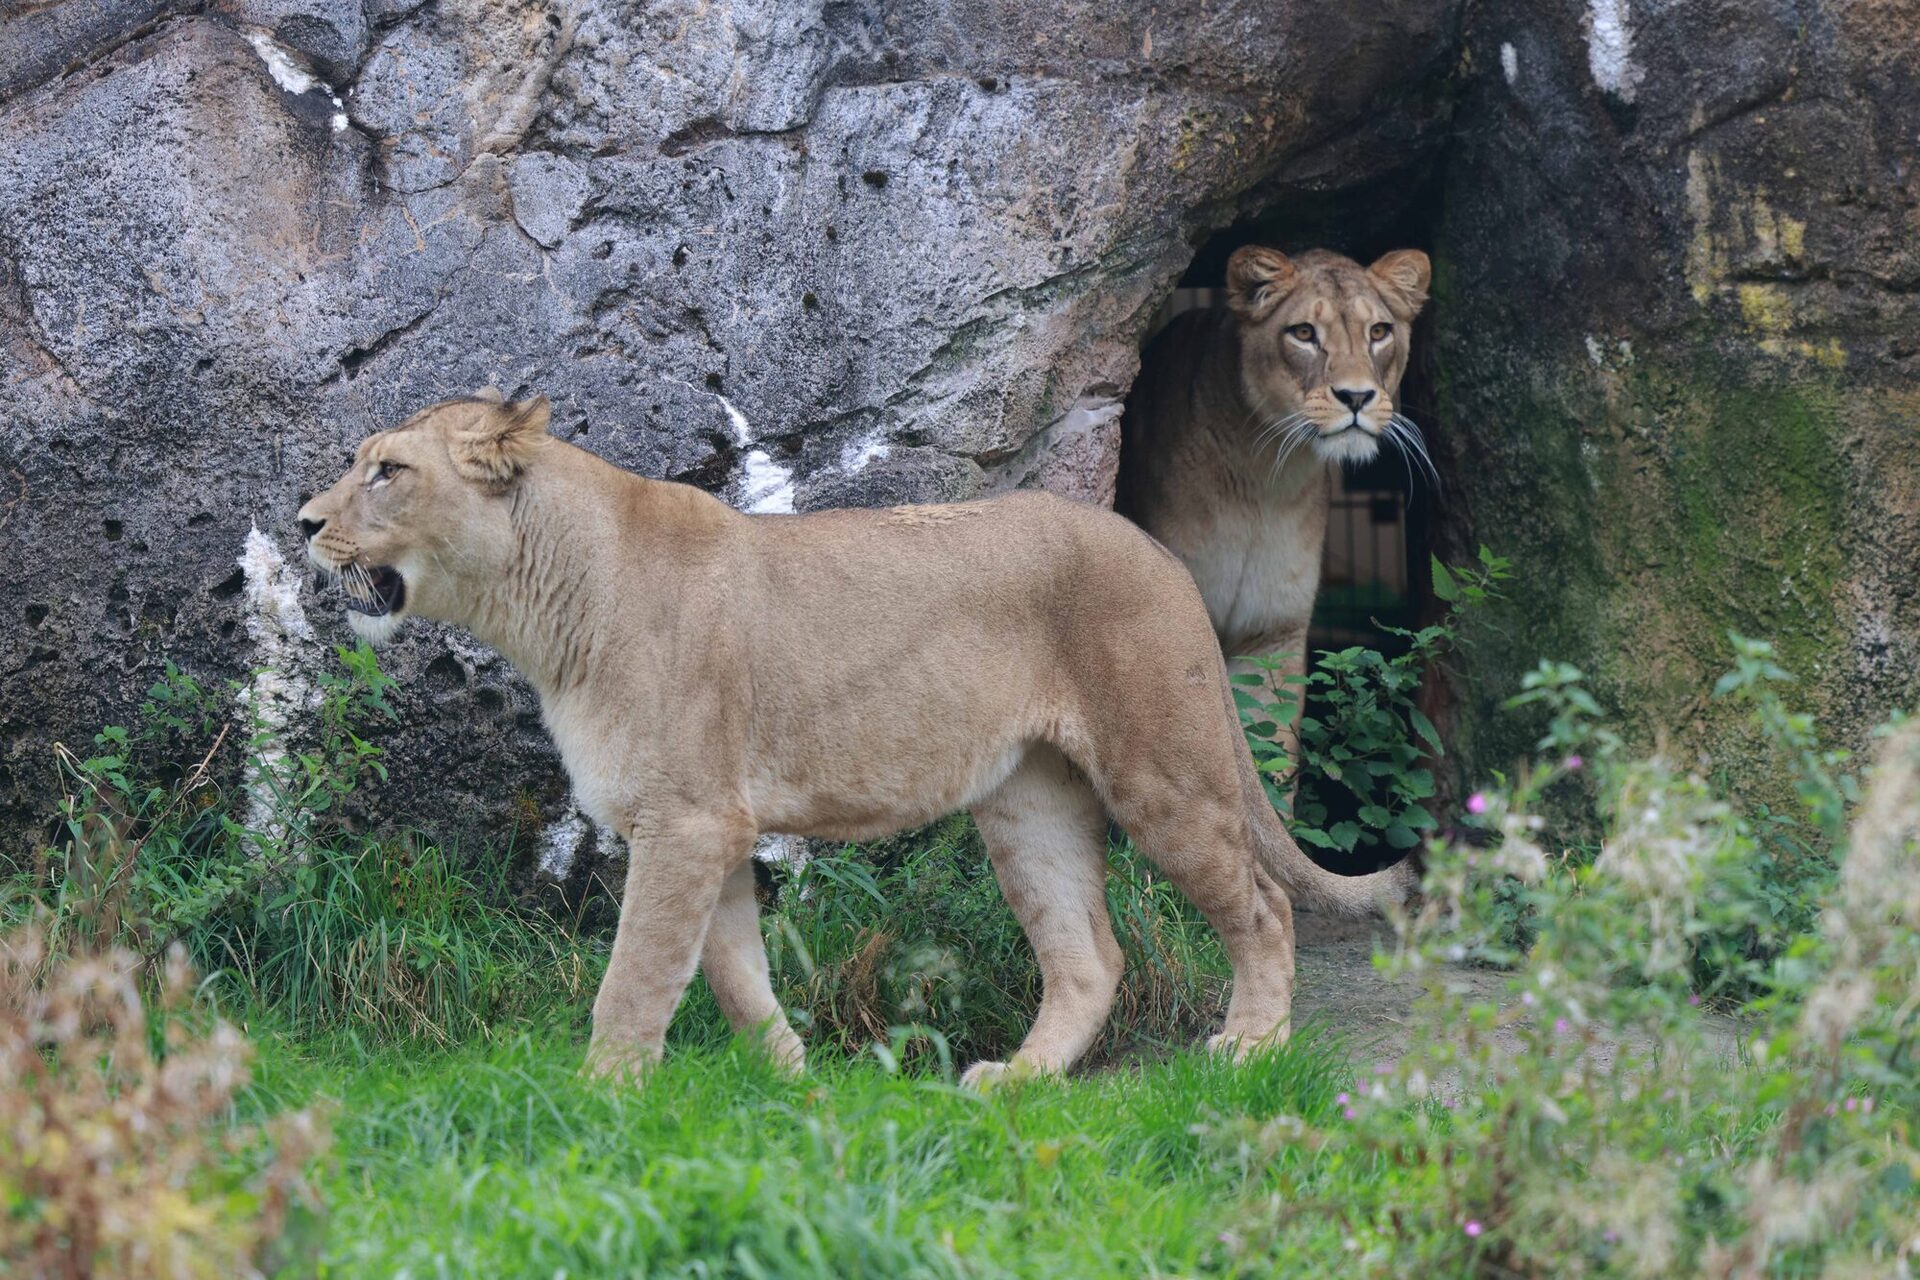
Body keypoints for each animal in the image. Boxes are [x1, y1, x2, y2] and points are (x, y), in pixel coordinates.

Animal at [296, 391, 1412, 1086]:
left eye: (387, 470)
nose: (303, 521)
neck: (541, 601)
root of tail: (1159, 551)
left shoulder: (686, 819)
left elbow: (635, 976)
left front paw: (599, 1099)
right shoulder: (715, 826)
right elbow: (733, 976)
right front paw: (797, 1088)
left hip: (1164, 771)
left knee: (1265, 905)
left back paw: (1250, 1049)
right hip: (1029, 801)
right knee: (1090, 954)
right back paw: (1017, 1081)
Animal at [1117, 246, 1434, 776]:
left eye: (1379, 332)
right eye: (1303, 333)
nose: (1356, 397)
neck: (1264, 474)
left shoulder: (1273, 633)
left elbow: (1271, 753)